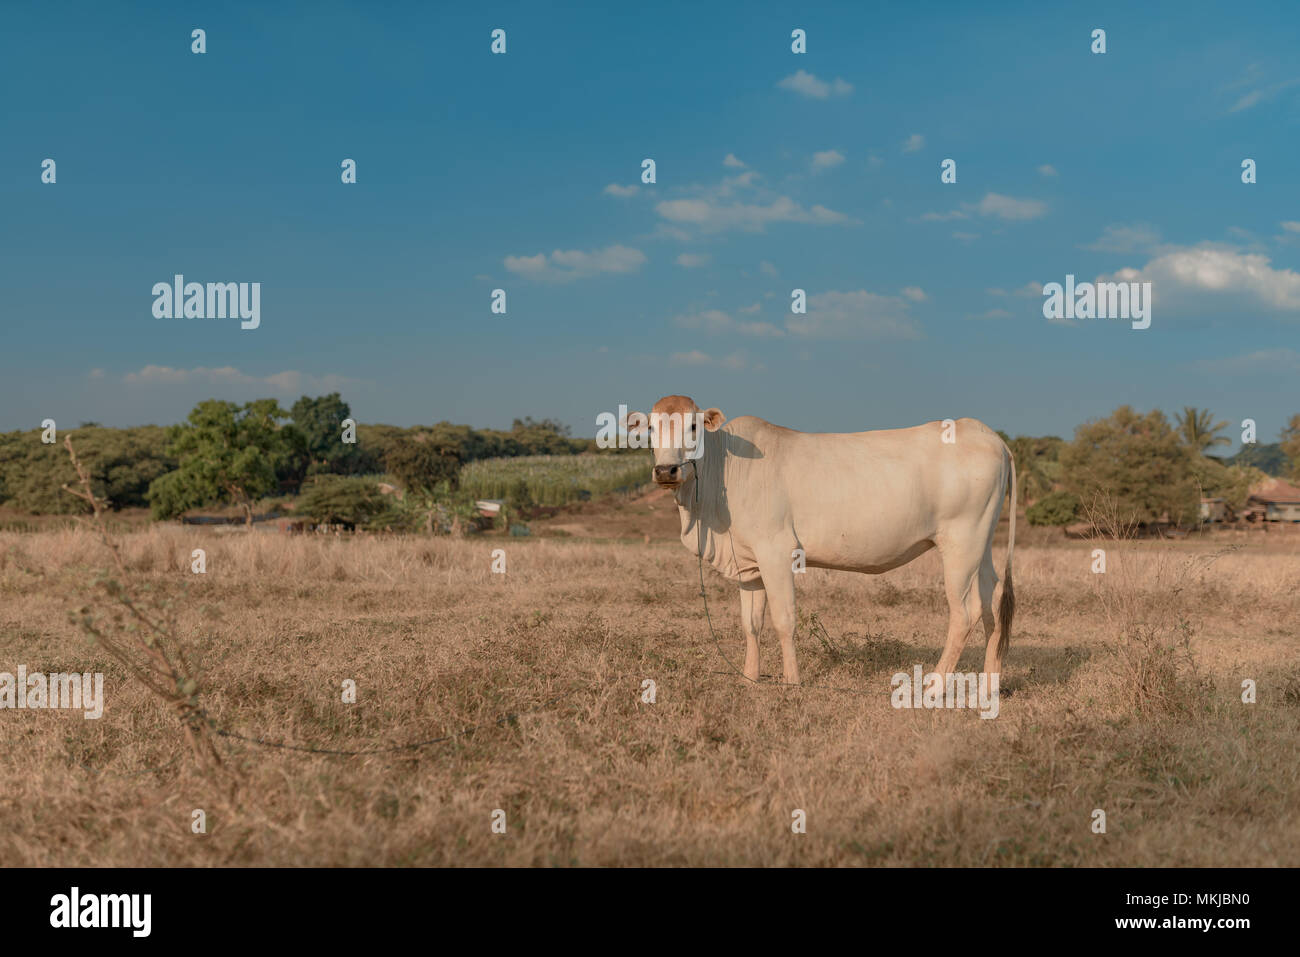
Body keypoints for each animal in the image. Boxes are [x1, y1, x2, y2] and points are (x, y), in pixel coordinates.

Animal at [625, 395, 1016, 687]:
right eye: (651, 428)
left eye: (693, 426)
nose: (666, 471)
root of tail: (988, 435)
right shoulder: (749, 564)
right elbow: (751, 623)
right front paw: (750, 678)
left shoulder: (776, 552)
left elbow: (784, 619)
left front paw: (792, 681)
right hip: (980, 546)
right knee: (994, 600)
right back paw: (989, 684)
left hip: (961, 544)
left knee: (965, 613)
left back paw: (934, 686)